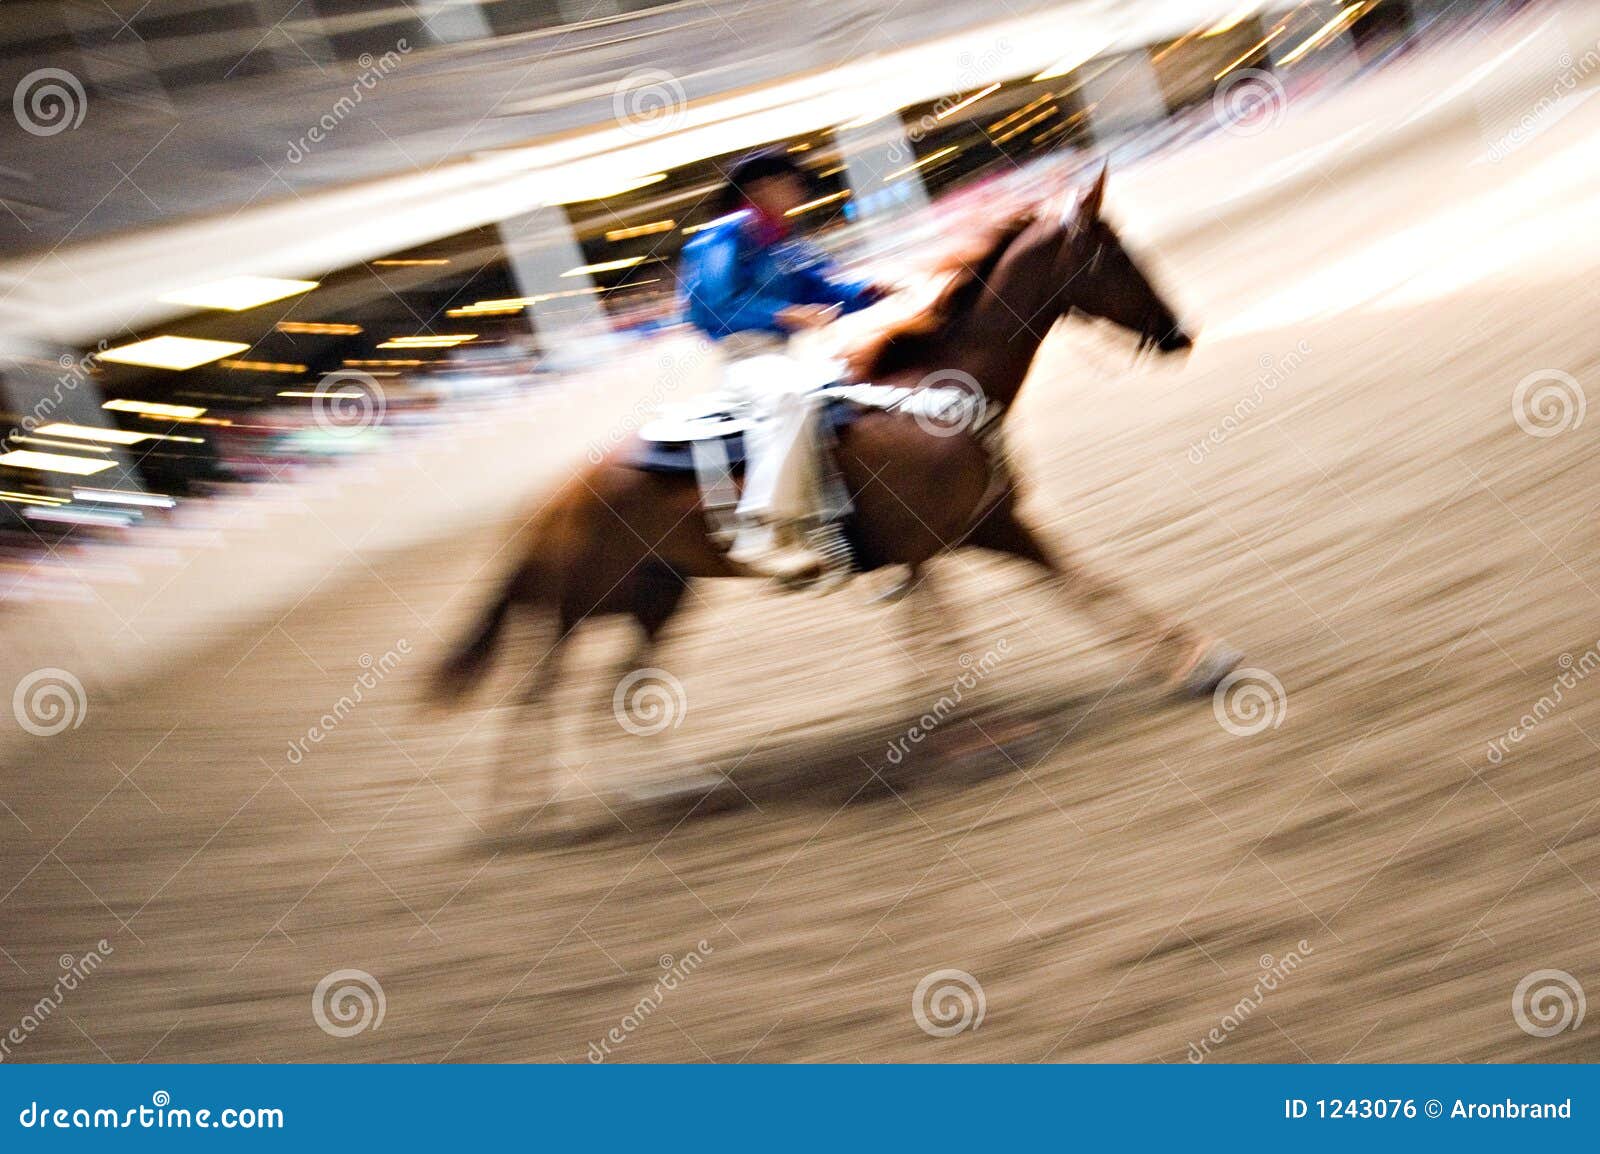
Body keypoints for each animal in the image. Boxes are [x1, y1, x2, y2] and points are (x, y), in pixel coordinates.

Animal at [433, 166, 1240, 823]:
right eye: (1116, 253)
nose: (1181, 333)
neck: (933, 398)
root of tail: (548, 501)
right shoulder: (924, 548)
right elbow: (945, 633)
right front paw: (964, 740)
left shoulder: (992, 527)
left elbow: (1082, 583)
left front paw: (1196, 660)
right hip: (586, 603)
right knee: (540, 692)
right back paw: (531, 810)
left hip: (656, 596)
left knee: (610, 692)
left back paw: (661, 788)